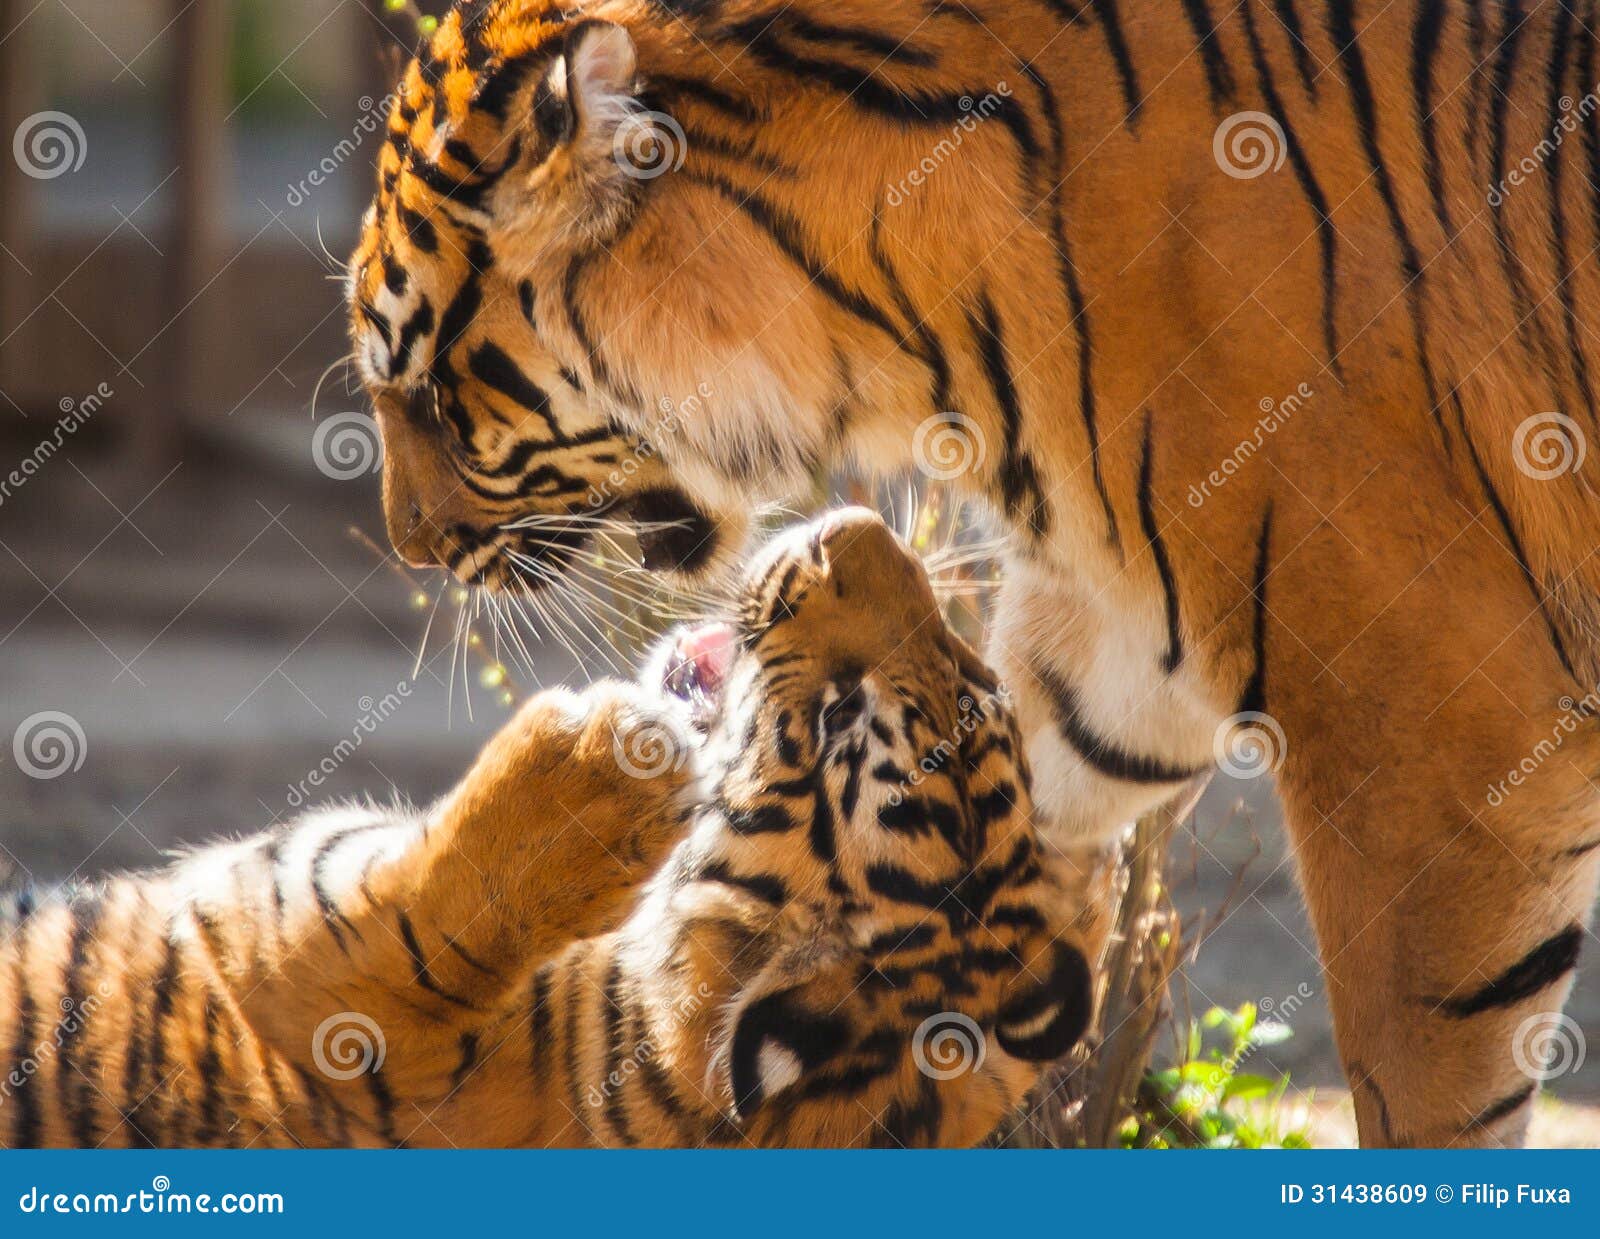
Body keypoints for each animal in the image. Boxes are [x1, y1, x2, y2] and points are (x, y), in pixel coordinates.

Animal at [0, 510, 1091, 1148]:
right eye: (981, 678)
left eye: (840, 721)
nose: (858, 528)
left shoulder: (303, 956)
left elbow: (438, 924)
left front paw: (612, 760)